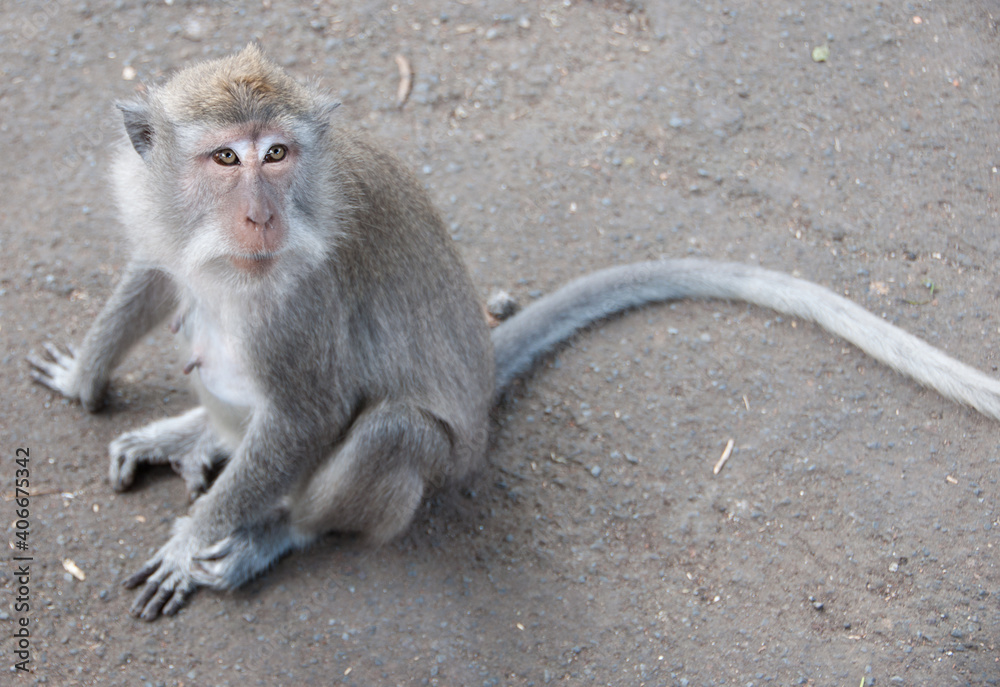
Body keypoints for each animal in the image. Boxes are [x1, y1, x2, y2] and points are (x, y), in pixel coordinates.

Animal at [27, 45, 1000, 621]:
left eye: (277, 154)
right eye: (225, 156)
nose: (261, 215)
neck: (231, 255)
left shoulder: (299, 298)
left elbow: (310, 411)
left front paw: (192, 539)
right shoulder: (163, 220)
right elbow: (157, 277)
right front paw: (84, 375)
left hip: (433, 459)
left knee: (389, 431)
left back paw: (270, 532)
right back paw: (195, 434)